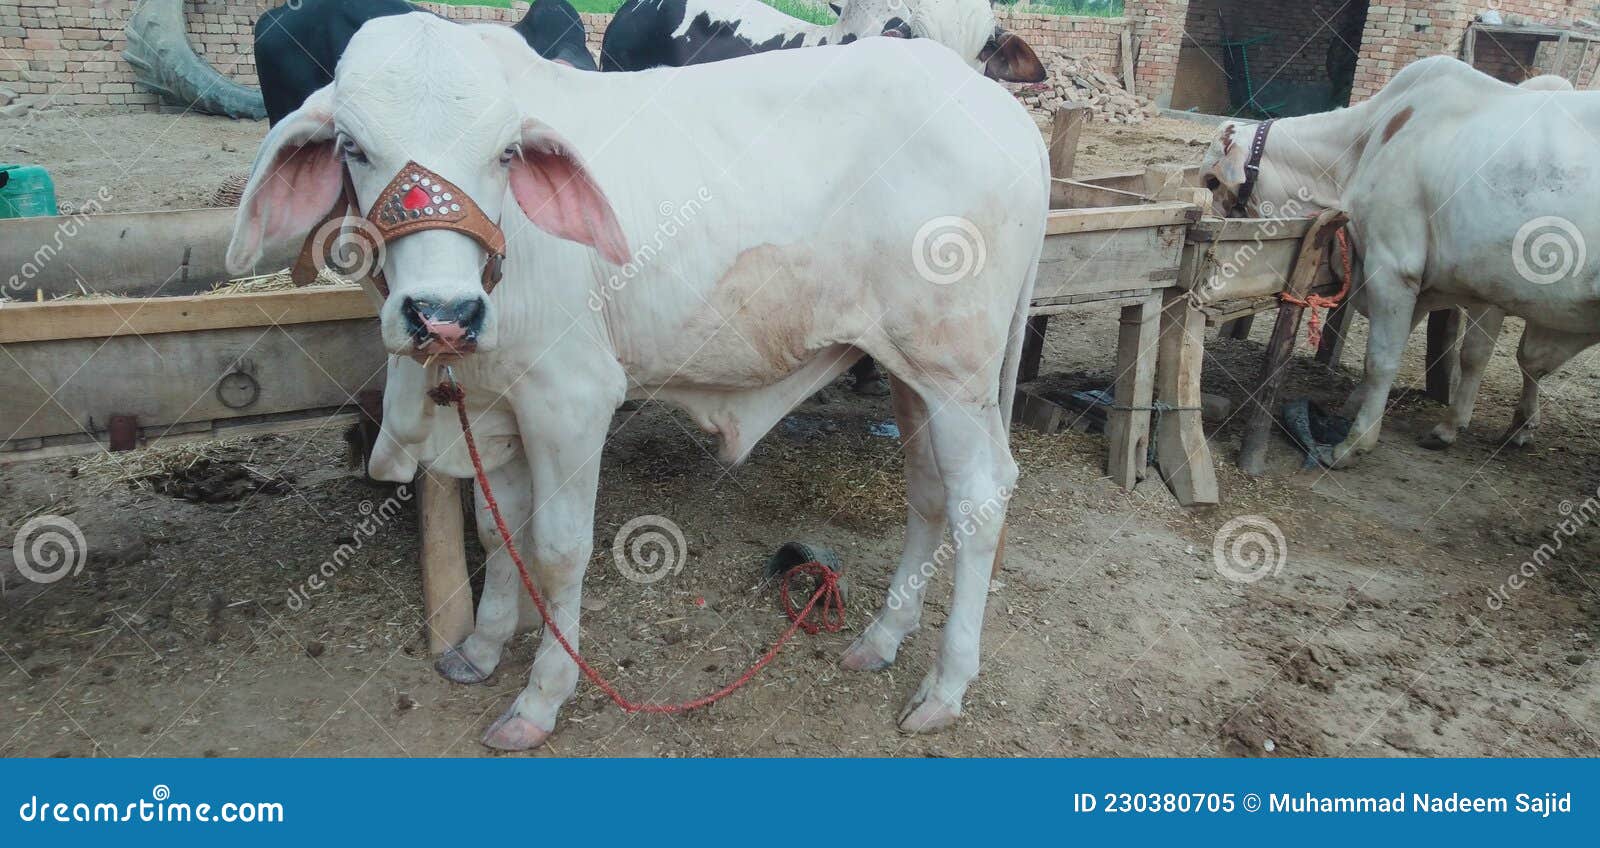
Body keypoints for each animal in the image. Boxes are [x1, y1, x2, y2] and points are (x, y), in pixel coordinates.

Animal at [1198, 57, 1600, 466]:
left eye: (1212, 181)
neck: (1365, 144)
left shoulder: (1393, 266)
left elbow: (1384, 359)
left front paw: (1356, 441)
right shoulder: (1428, 285)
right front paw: (1358, 408)